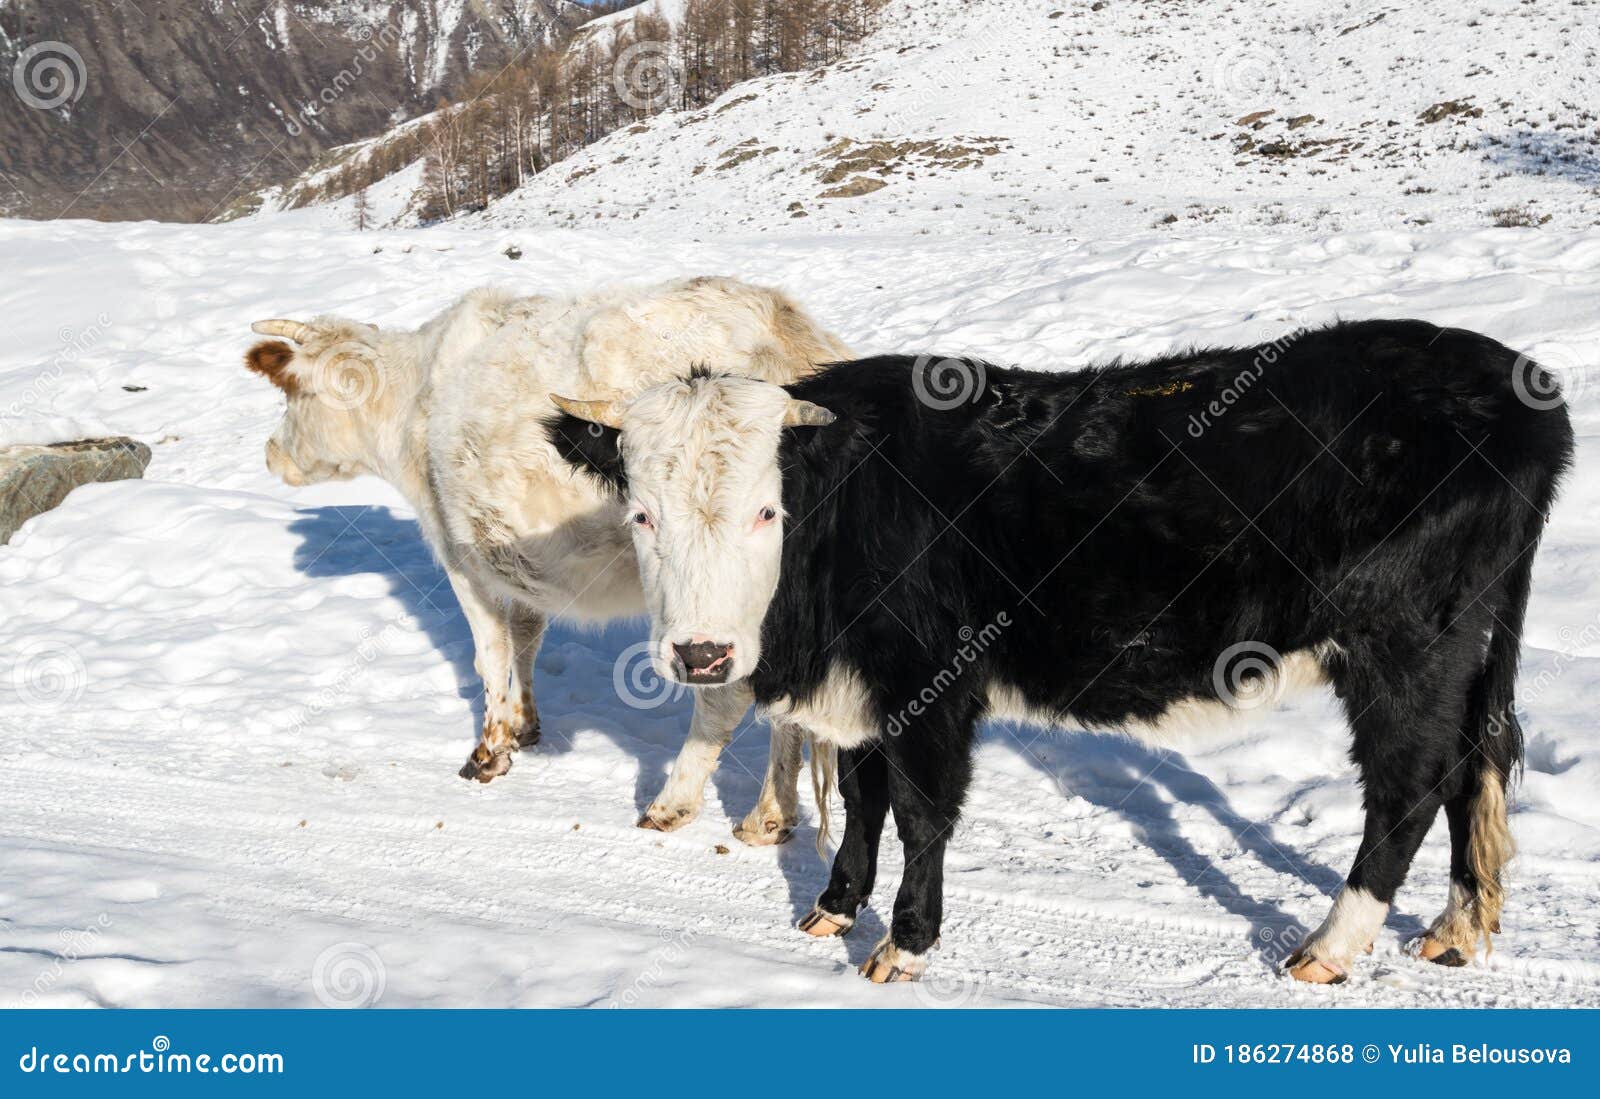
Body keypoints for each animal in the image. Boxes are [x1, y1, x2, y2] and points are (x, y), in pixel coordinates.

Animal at [244, 277, 852, 842]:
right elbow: (527, 638)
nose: (272, 455)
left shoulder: (462, 558)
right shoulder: (520, 570)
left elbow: (490, 655)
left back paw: (675, 805)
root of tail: (787, 326)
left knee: (726, 695)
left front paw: (488, 753)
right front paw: (524, 724)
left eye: (292, 392)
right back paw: (769, 816)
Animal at [550, 319, 1573, 984]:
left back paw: (1329, 947)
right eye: (641, 513)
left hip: (1406, 643)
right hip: (1469, 643)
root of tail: (1521, 384)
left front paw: (904, 942)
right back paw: (1453, 928)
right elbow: (864, 797)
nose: (702, 655)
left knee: (1409, 784)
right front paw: (834, 904)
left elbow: (921, 811)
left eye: (768, 509)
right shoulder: (866, 688)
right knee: (1475, 761)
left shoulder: (932, 682)